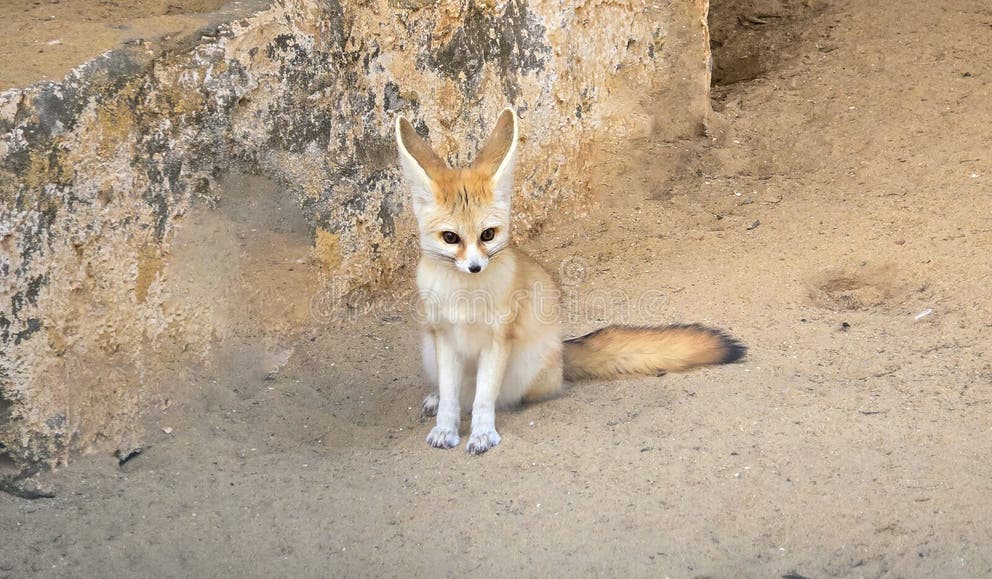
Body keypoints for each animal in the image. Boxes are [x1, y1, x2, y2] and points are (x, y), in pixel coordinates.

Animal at [394, 107, 745, 454]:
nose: (475, 267)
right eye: (451, 238)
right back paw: (435, 397)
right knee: (457, 393)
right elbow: (451, 398)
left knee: (500, 396)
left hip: (527, 369)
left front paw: (482, 433)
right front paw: (445, 428)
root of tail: (562, 353)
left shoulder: (497, 340)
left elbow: (483, 399)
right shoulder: (444, 337)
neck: (465, 296)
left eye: (488, 235)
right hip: (430, 352)